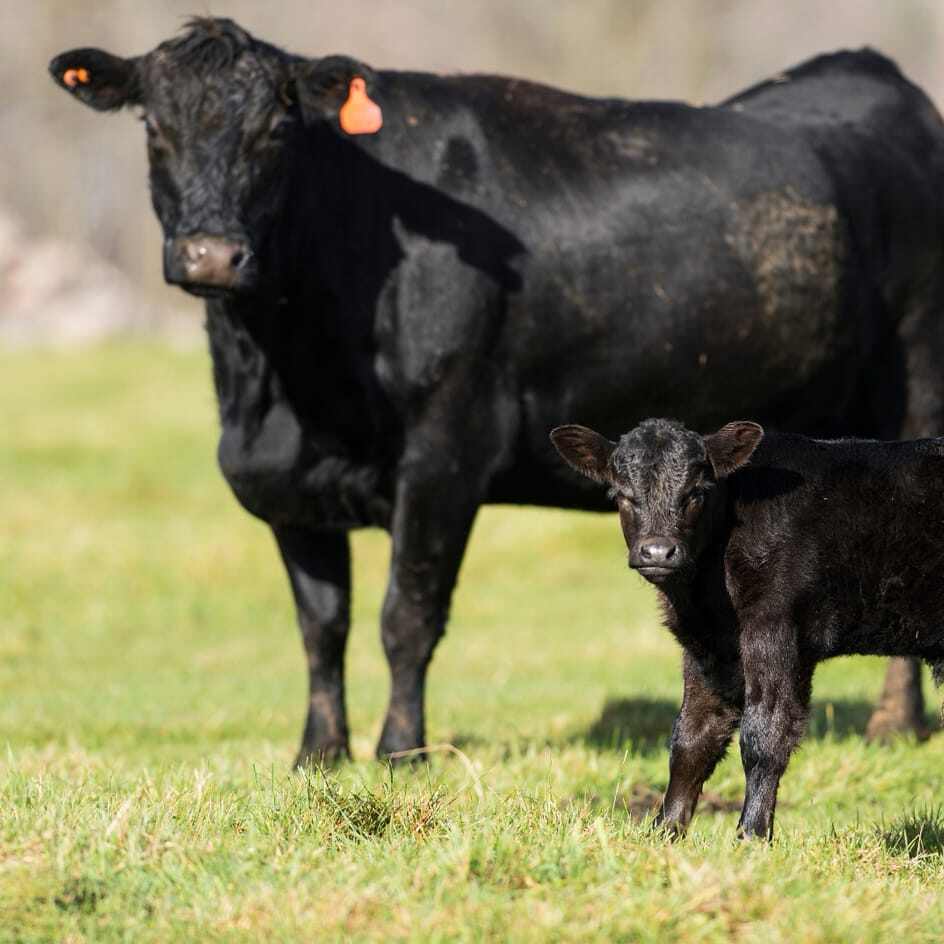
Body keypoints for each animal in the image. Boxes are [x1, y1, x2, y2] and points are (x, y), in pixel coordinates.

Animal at [49, 17, 944, 764]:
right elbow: (320, 625)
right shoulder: (285, 485)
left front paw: (400, 751)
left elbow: (405, 615)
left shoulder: (446, 455)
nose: (209, 254)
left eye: (276, 131)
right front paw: (319, 753)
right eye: (154, 130)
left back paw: (895, 723)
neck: (279, 390)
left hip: (919, 387)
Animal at [551, 418, 944, 839]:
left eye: (697, 492)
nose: (658, 551)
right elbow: (692, 736)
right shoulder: (710, 646)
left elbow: (765, 733)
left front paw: (751, 834)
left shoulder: (774, 627)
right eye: (621, 494)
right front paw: (665, 830)